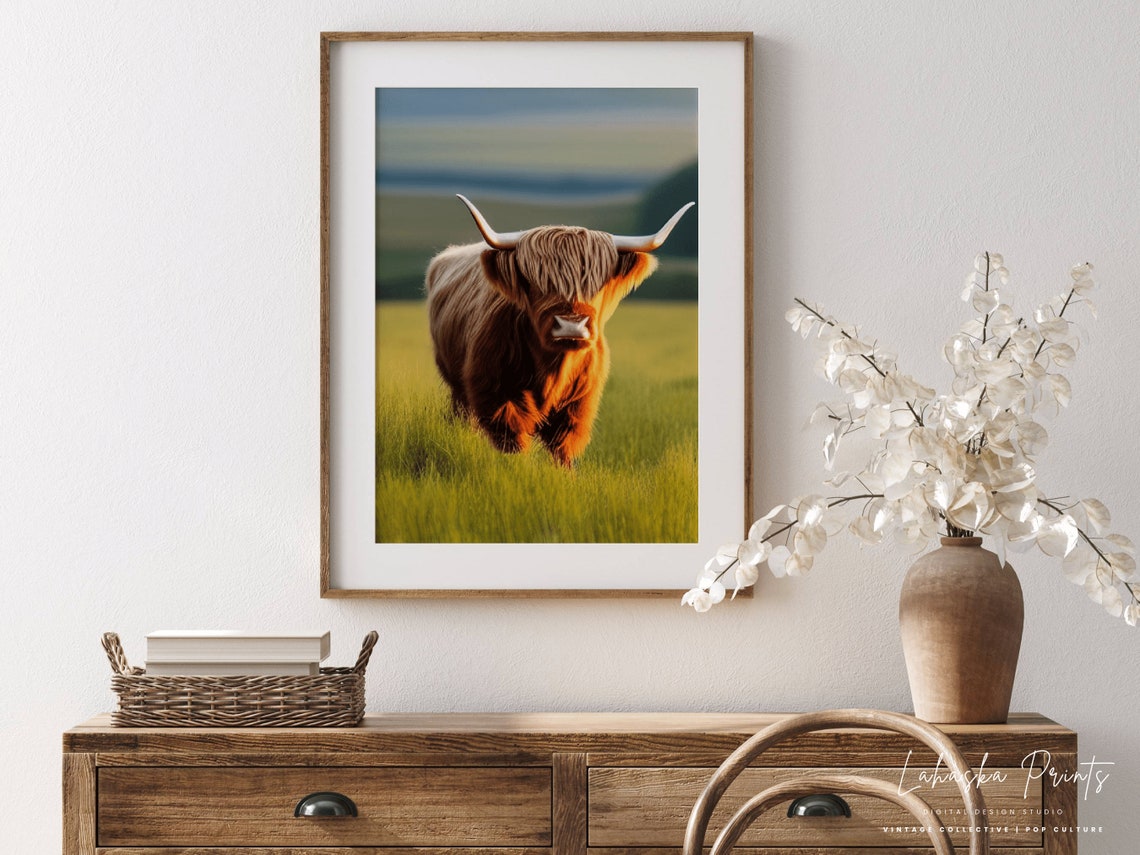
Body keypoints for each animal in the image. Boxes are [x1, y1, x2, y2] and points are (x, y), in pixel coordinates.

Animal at [425, 194, 694, 468]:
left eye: (597, 283)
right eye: (536, 282)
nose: (571, 326)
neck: (552, 367)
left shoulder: (576, 408)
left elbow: (561, 450)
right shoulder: (496, 395)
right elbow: (513, 444)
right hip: (457, 387)